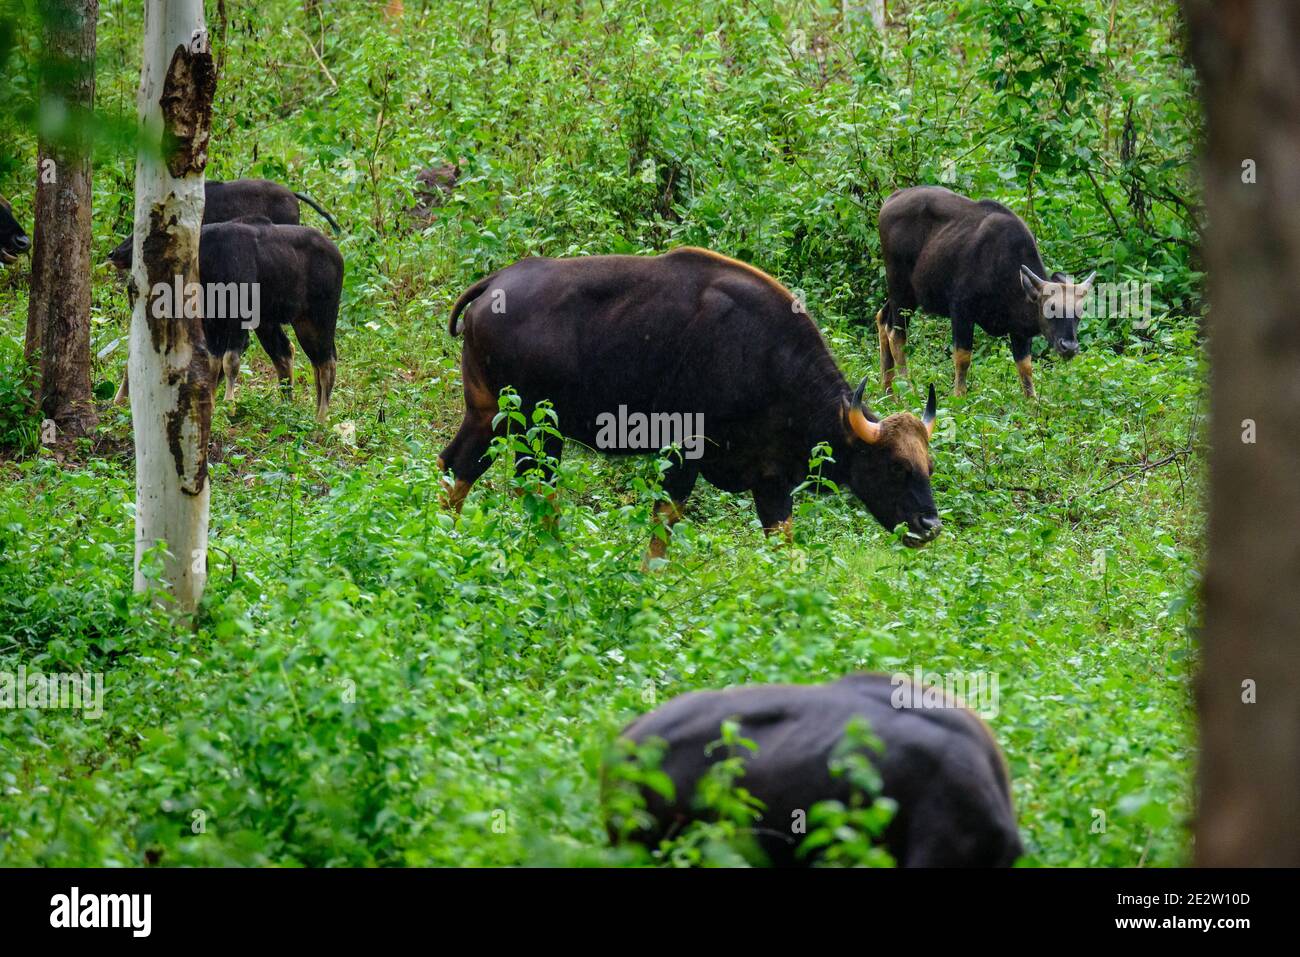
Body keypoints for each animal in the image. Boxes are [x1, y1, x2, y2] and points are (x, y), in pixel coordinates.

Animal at [440, 247, 943, 561]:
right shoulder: (682, 452)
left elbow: (783, 544)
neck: (762, 356)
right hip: (535, 428)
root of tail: (495, 283)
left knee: (456, 466)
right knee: (534, 489)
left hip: (487, 414)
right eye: (896, 466)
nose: (931, 526)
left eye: (929, 466)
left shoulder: (770, 475)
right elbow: (662, 527)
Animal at [876, 185, 1095, 398]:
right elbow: (963, 357)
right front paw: (959, 397)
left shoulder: (1018, 329)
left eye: (1079, 313)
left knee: (882, 318)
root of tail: (891, 200)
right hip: (901, 288)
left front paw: (1032, 402)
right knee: (897, 335)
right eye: (1050, 308)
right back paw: (907, 390)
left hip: (905, 294)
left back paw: (888, 392)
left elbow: (1025, 367)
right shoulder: (961, 310)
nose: (1069, 347)